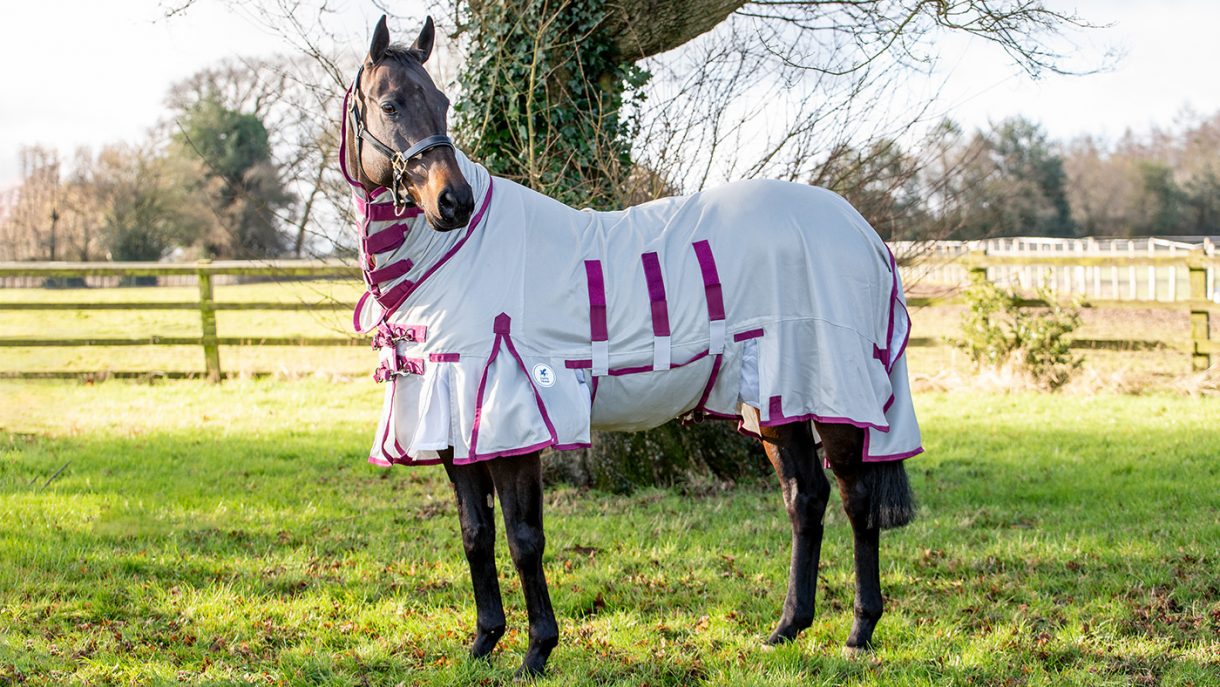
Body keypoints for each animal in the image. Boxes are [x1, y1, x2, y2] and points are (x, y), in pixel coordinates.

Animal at [341, 15, 922, 678]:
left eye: (441, 102)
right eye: (390, 103)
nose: (453, 202)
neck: (451, 258)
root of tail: (863, 231)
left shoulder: (515, 422)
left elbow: (523, 538)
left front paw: (537, 650)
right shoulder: (453, 426)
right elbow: (475, 534)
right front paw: (484, 642)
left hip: (833, 395)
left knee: (856, 500)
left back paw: (859, 631)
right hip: (775, 401)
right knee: (806, 498)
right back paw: (786, 628)